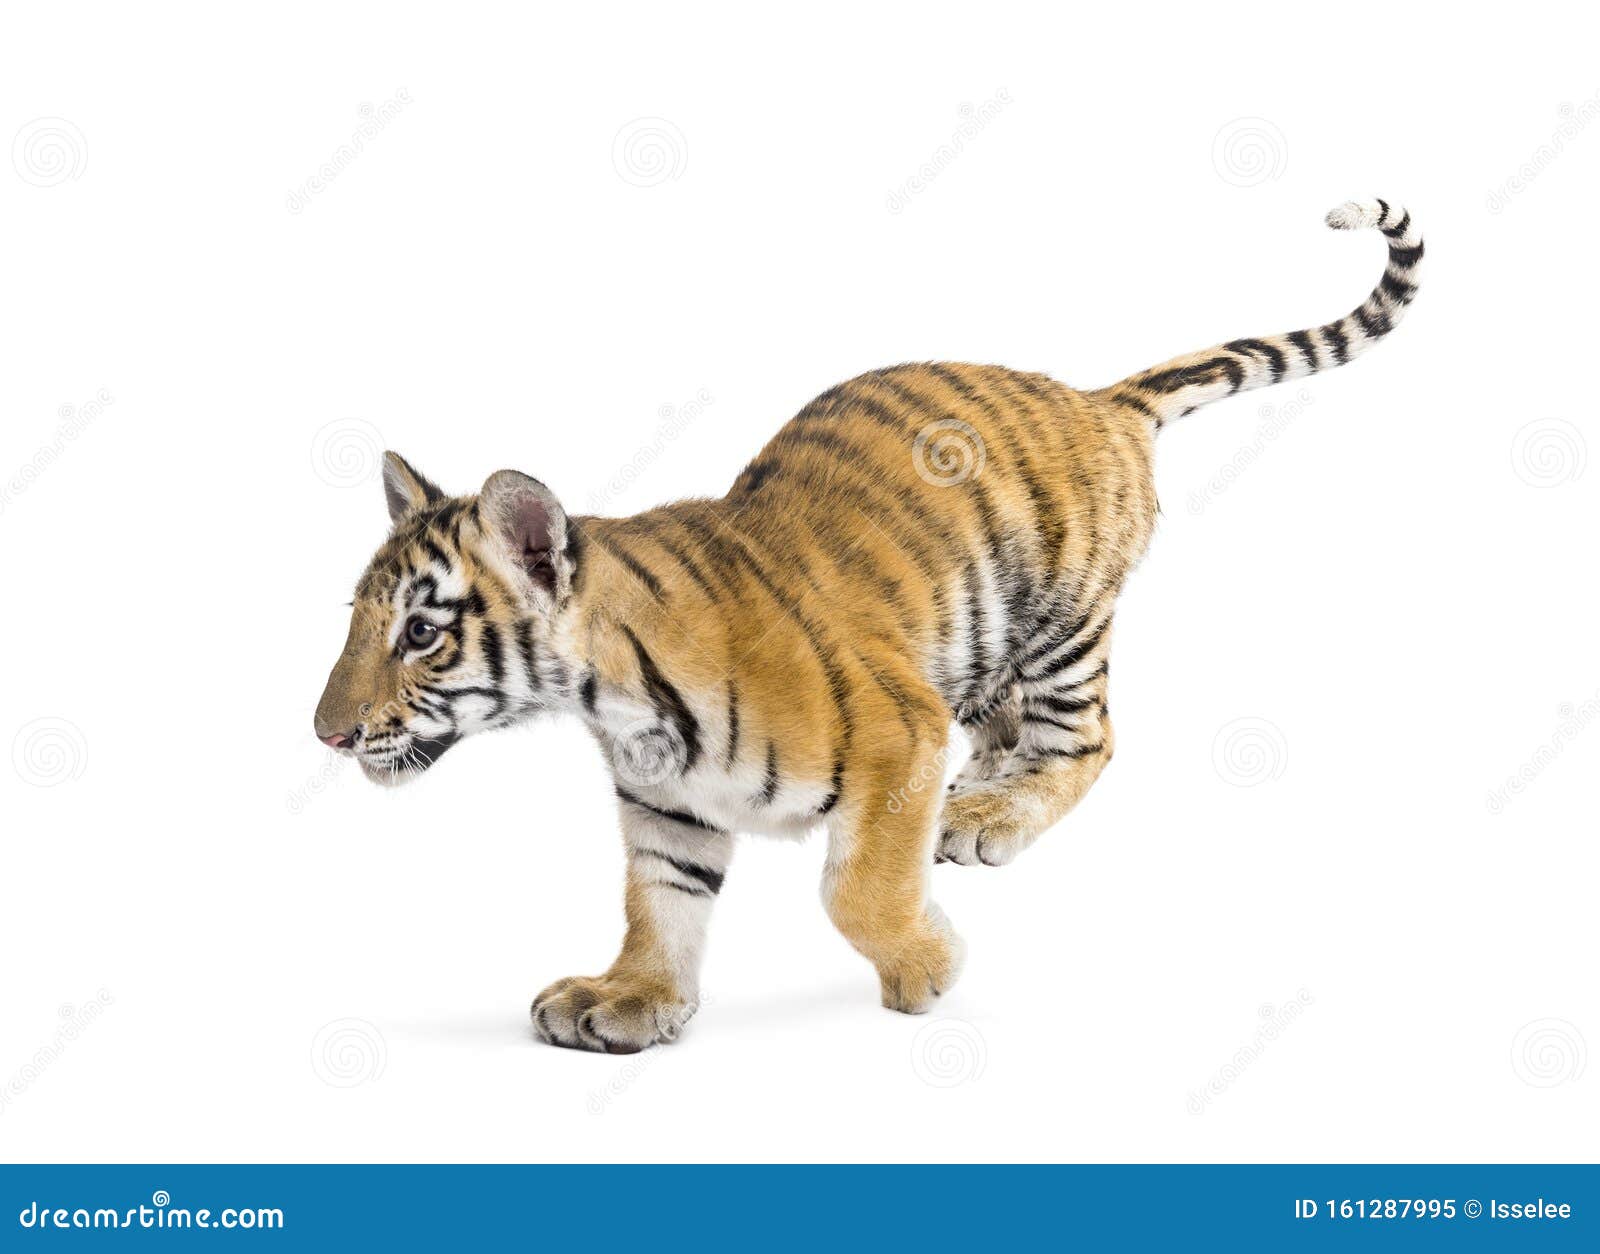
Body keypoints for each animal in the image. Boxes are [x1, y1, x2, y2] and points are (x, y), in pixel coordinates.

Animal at [314, 198, 1422, 1053]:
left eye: (421, 634)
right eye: (359, 619)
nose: (326, 734)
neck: (616, 702)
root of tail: (1093, 398)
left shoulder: (899, 735)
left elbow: (855, 888)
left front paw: (926, 966)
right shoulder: (667, 809)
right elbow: (658, 906)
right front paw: (632, 999)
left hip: (1058, 625)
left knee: (1087, 742)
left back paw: (988, 818)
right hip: (978, 657)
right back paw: (977, 799)